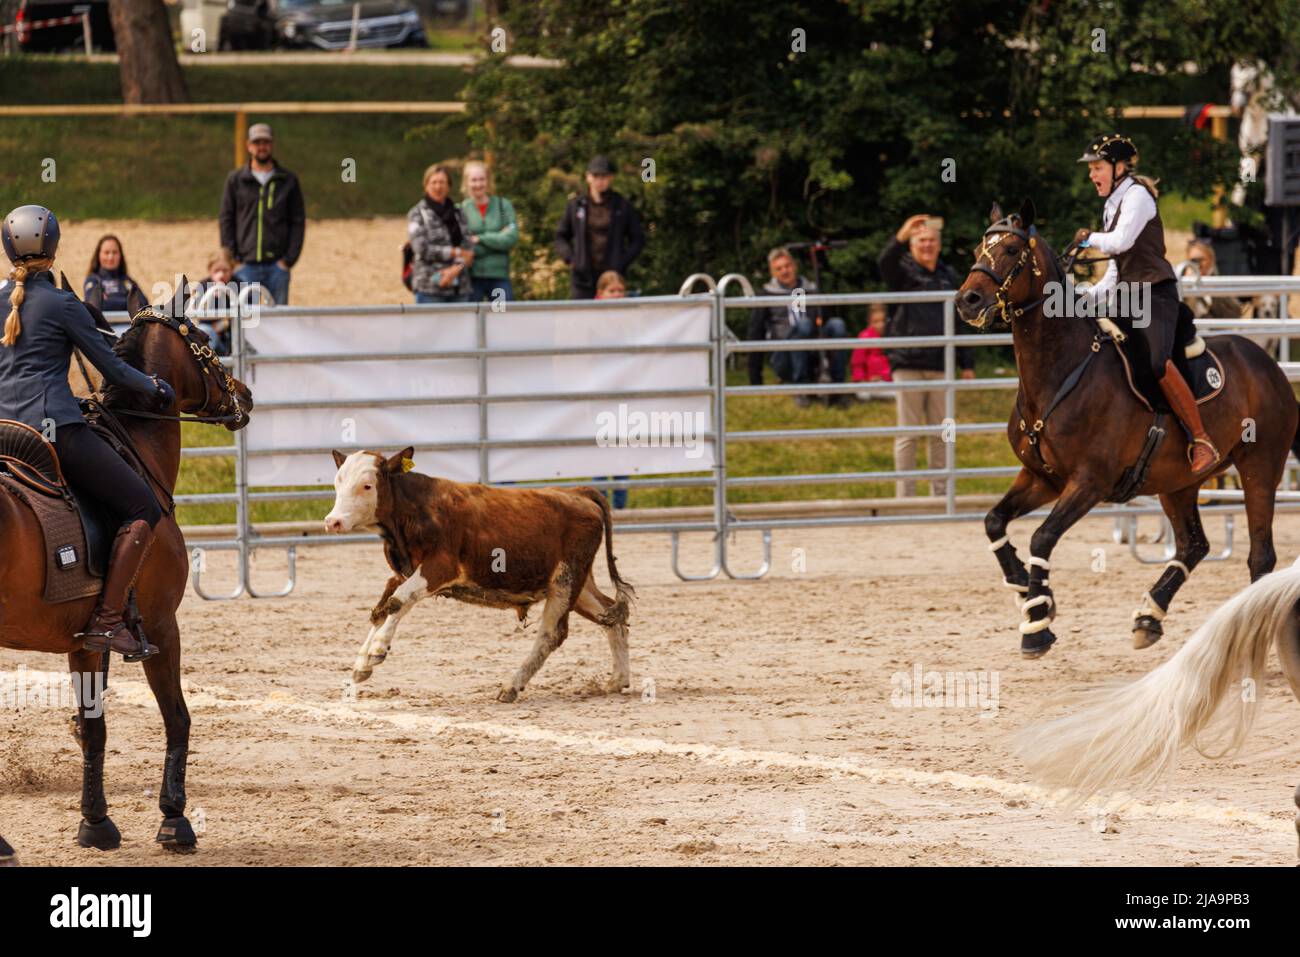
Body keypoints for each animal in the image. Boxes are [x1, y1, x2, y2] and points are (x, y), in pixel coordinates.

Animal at [0, 285, 253, 860]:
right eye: (206, 342)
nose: (245, 396)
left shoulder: (85, 641)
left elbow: (93, 728)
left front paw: (95, 823)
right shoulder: (161, 625)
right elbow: (177, 716)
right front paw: (174, 820)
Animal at [955, 199, 1300, 658]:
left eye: (1011, 250)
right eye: (981, 247)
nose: (968, 300)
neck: (1061, 373)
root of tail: (1268, 364)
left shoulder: (1089, 482)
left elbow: (1042, 539)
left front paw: (1037, 625)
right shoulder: (1041, 478)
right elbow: (994, 521)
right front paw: (1025, 592)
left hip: (1260, 468)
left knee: (1260, 556)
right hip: (1178, 483)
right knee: (1194, 545)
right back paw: (1149, 616)